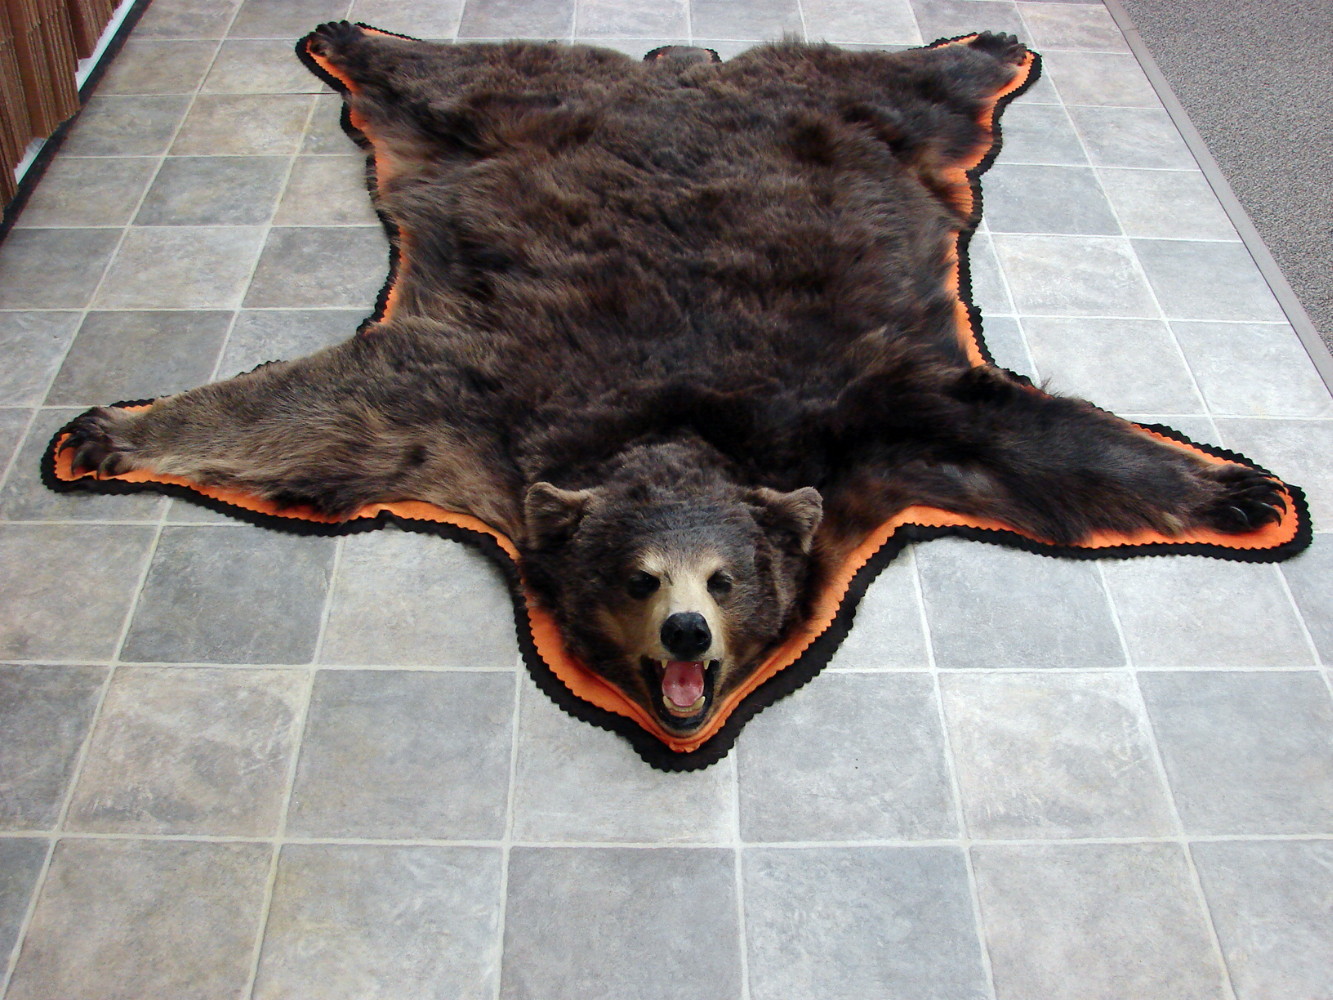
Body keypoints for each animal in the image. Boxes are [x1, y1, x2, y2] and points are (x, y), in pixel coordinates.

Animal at [60, 24, 1288, 738]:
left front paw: (1237, 487)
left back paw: (986, 40)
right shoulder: (477, 399)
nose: (689, 637)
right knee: (455, 70)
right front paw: (112, 428)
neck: (680, 430)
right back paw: (350, 30)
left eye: (726, 581)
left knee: (910, 79)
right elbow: (312, 405)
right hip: (504, 112)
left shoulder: (868, 418)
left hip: (862, 116)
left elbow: (1026, 434)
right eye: (640, 579)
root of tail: (693, 77)